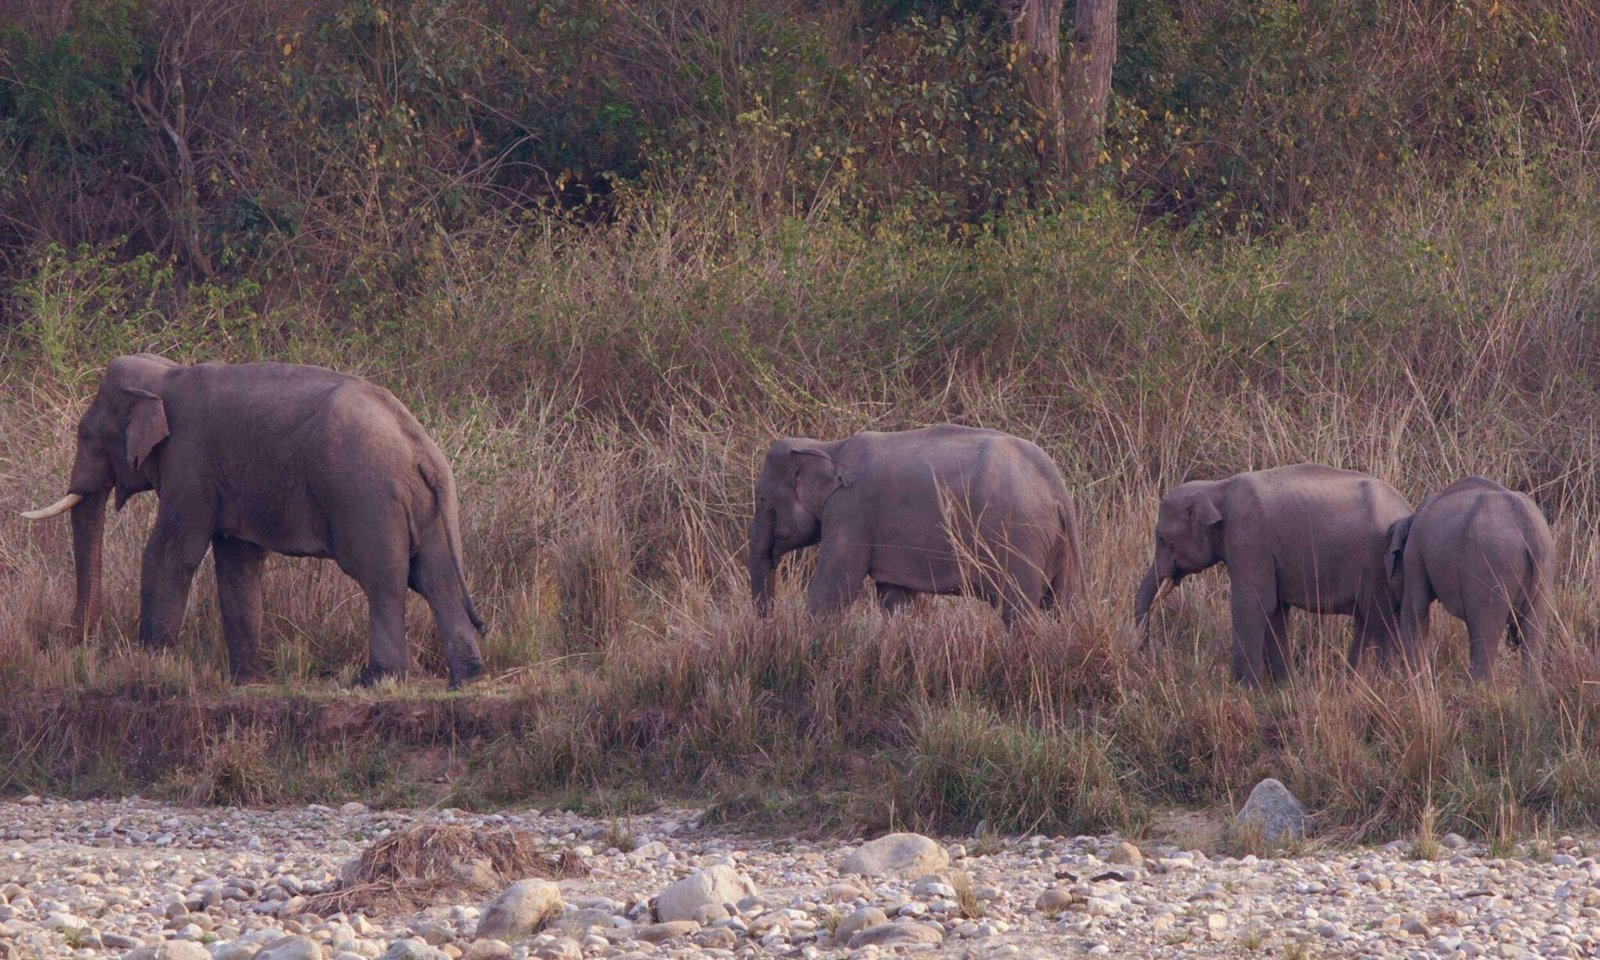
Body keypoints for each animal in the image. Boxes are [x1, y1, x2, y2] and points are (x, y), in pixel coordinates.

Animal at [21, 354, 487, 687]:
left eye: (85, 436)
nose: (71, 642)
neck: (166, 374)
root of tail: (422, 448)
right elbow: (237, 564)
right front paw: (245, 681)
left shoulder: (190, 464)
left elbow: (170, 555)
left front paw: (150, 667)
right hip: (423, 505)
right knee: (436, 578)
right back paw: (467, 679)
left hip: (366, 497)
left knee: (383, 580)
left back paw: (375, 680)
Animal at [747, 424, 1080, 624]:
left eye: (762, 499)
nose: (769, 625)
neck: (828, 446)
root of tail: (1057, 488)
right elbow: (895, 598)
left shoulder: (850, 512)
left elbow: (833, 588)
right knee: (1061, 606)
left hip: (1019, 539)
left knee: (1019, 611)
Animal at [1133, 463, 1411, 685]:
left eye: (1161, 537)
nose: (1145, 652)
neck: (1217, 488)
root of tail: (1406, 509)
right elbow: (1275, 608)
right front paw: (1283, 687)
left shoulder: (1249, 538)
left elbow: (1253, 604)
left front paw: (1245, 690)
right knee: (1368, 619)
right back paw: (1352, 685)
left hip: (1378, 566)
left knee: (1380, 620)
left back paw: (1383, 684)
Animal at [1388, 476, 1554, 681]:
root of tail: (1527, 524)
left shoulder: (1414, 553)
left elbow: (1414, 612)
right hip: (1545, 569)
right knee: (1533, 631)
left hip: (1491, 566)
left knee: (1484, 631)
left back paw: (1476, 685)